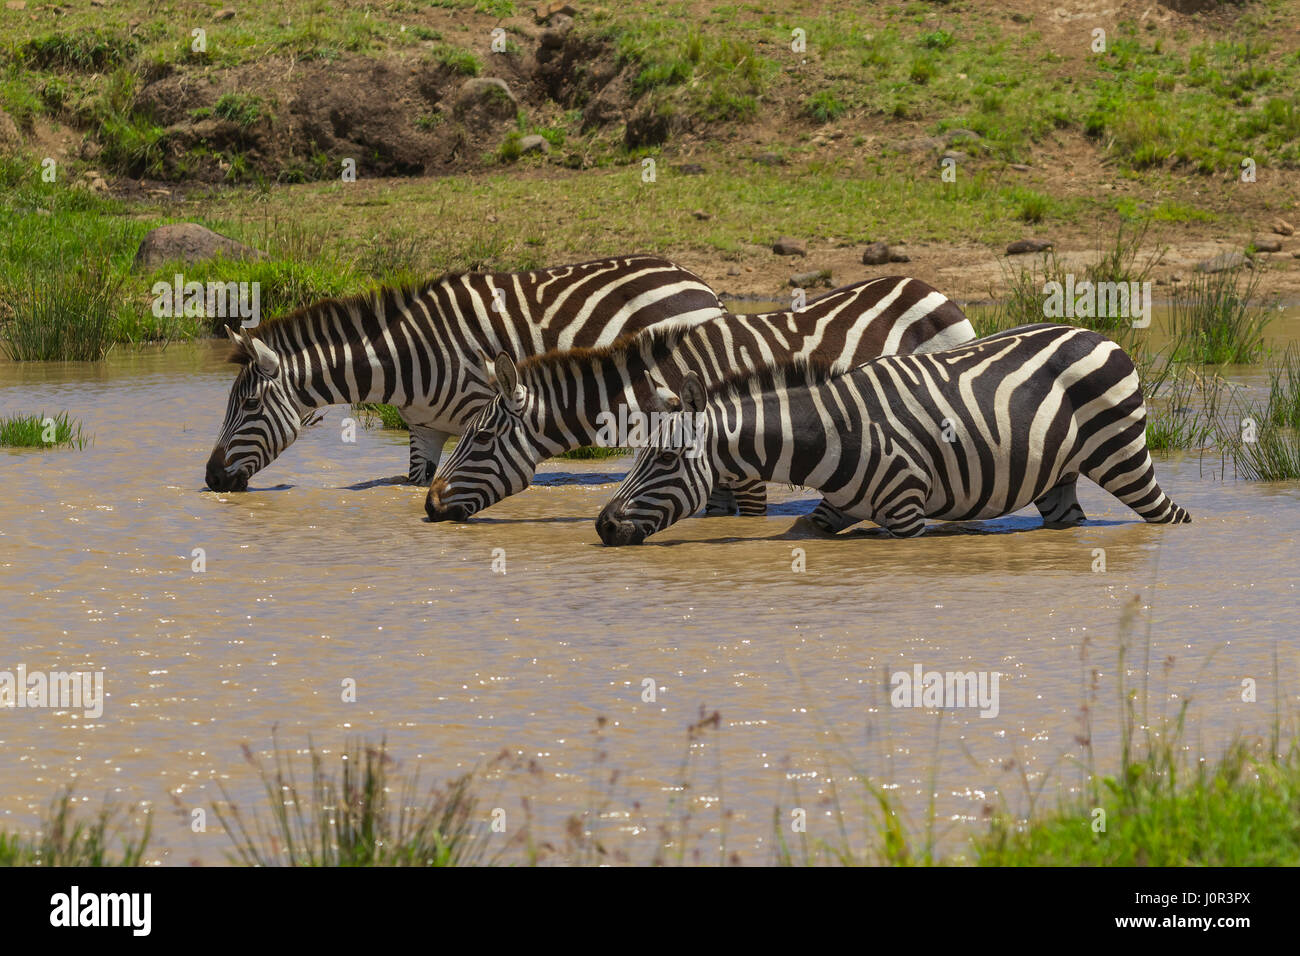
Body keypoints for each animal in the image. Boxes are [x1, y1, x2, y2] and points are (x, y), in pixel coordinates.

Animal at [204, 256, 725, 492]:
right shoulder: (424, 427)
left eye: (249, 405)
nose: (211, 478)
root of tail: (697, 280)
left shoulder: (487, 408)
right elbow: (417, 481)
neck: (405, 357)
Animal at [595, 323, 1191, 546]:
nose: (603, 526)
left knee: (1171, 516)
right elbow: (806, 530)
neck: (829, 436)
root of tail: (1101, 334)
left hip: (1122, 455)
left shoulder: (906, 513)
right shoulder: (833, 510)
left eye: (666, 459)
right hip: (1057, 476)